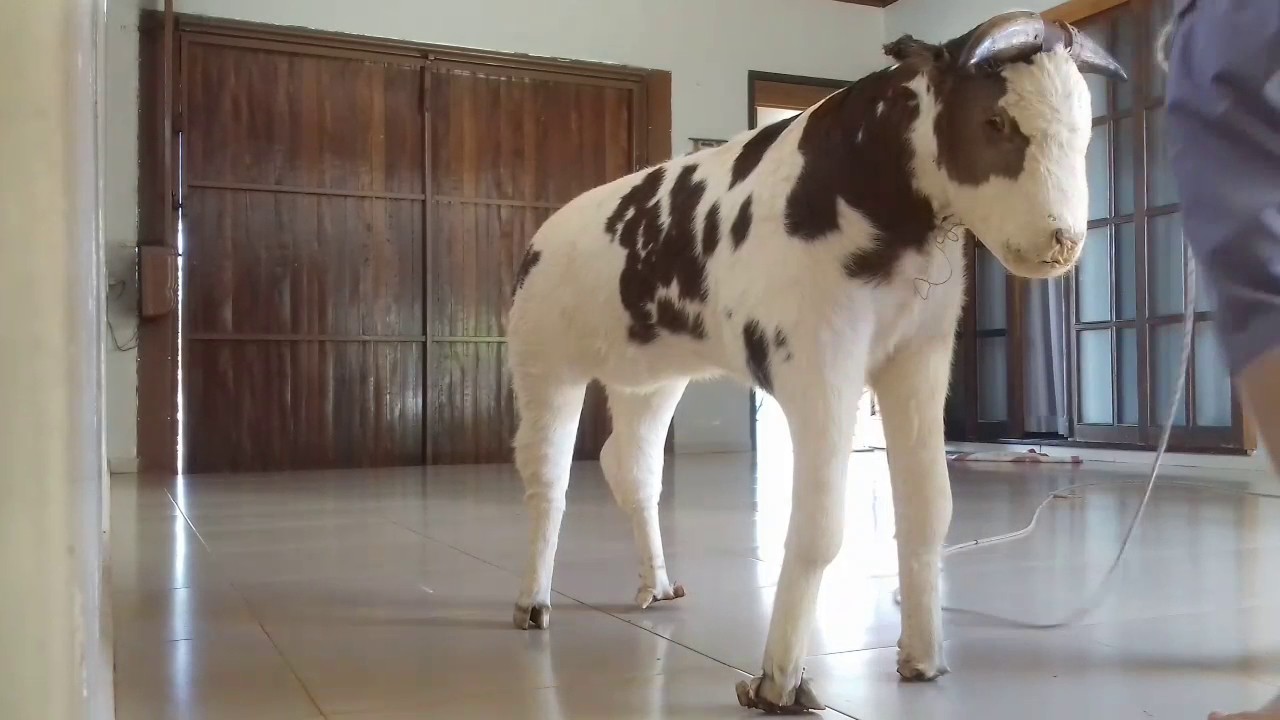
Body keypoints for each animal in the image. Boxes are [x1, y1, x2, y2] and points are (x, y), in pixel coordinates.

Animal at [506, 10, 1127, 713]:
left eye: (1085, 128)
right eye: (996, 120)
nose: (1064, 241)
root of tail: (549, 229)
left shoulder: (919, 355)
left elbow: (929, 509)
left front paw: (923, 658)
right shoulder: (816, 358)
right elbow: (821, 525)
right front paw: (778, 680)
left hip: (652, 379)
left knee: (631, 467)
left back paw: (657, 585)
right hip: (544, 365)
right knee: (548, 478)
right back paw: (533, 601)